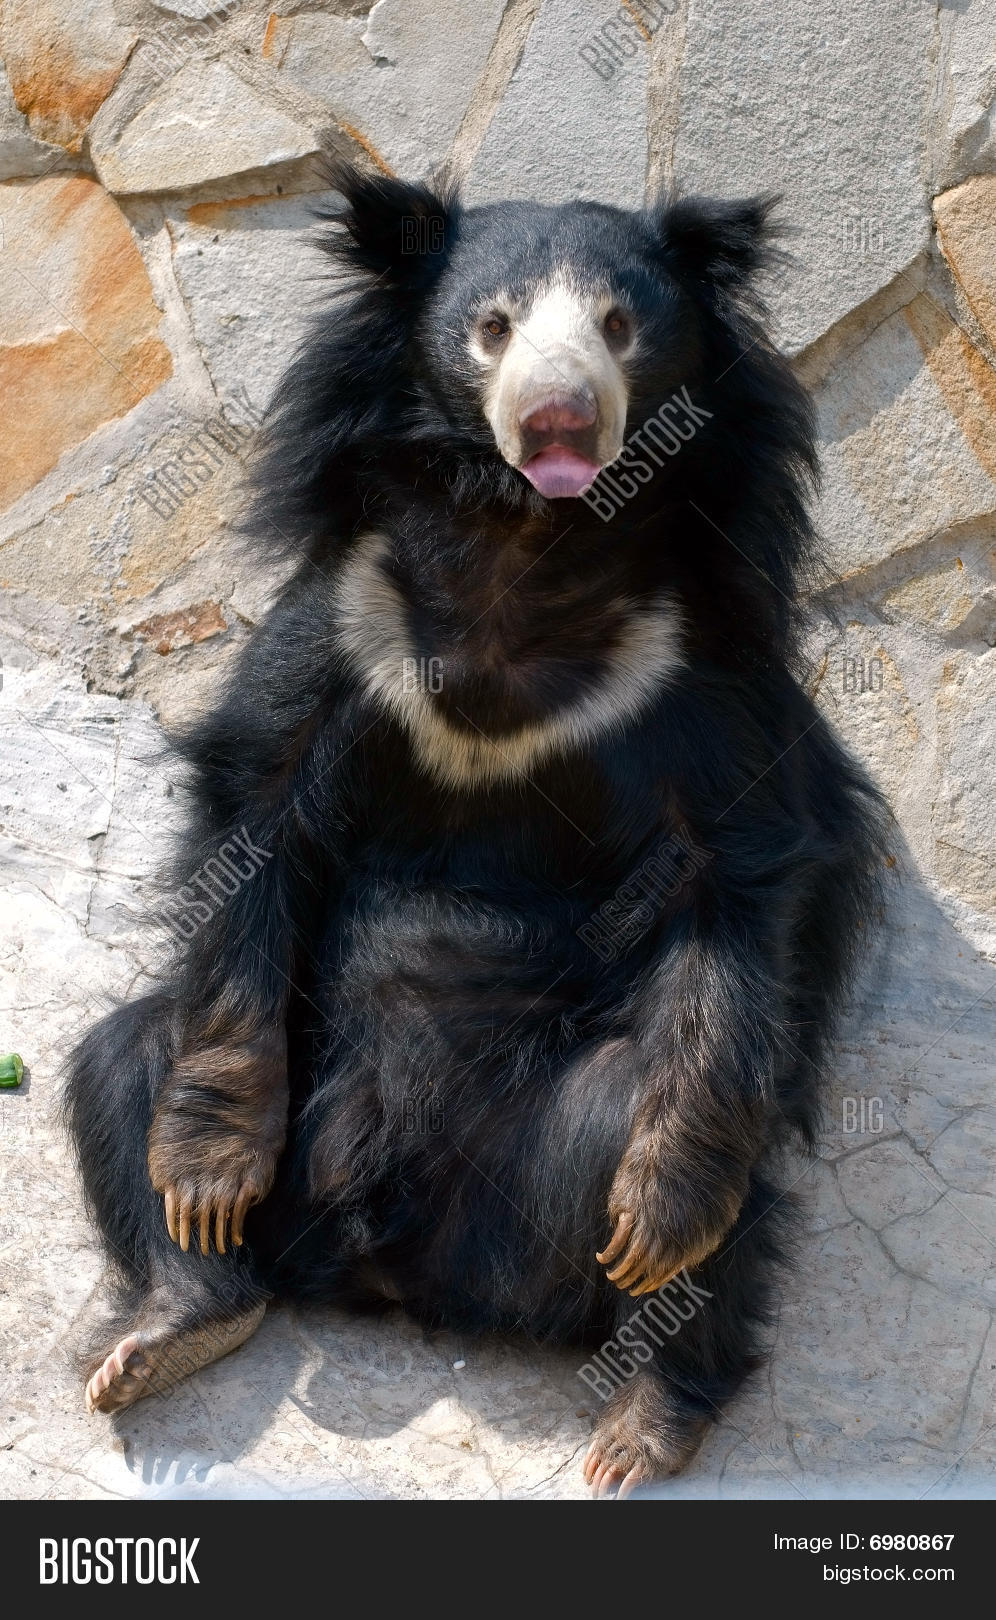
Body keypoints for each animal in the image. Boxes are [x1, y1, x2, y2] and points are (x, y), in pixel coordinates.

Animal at [64, 161, 887, 1497]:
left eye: (618, 325)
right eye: (492, 327)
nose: (559, 422)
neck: (528, 539)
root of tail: (404, 1277)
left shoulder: (696, 660)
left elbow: (741, 870)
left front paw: (666, 1214)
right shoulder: (346, 613)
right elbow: (258, 809)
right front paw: (205, 1178)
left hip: (558, 1168)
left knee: (687, 1204)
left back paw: (644, 1419)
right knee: (125, 1057)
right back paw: (179, 1318)